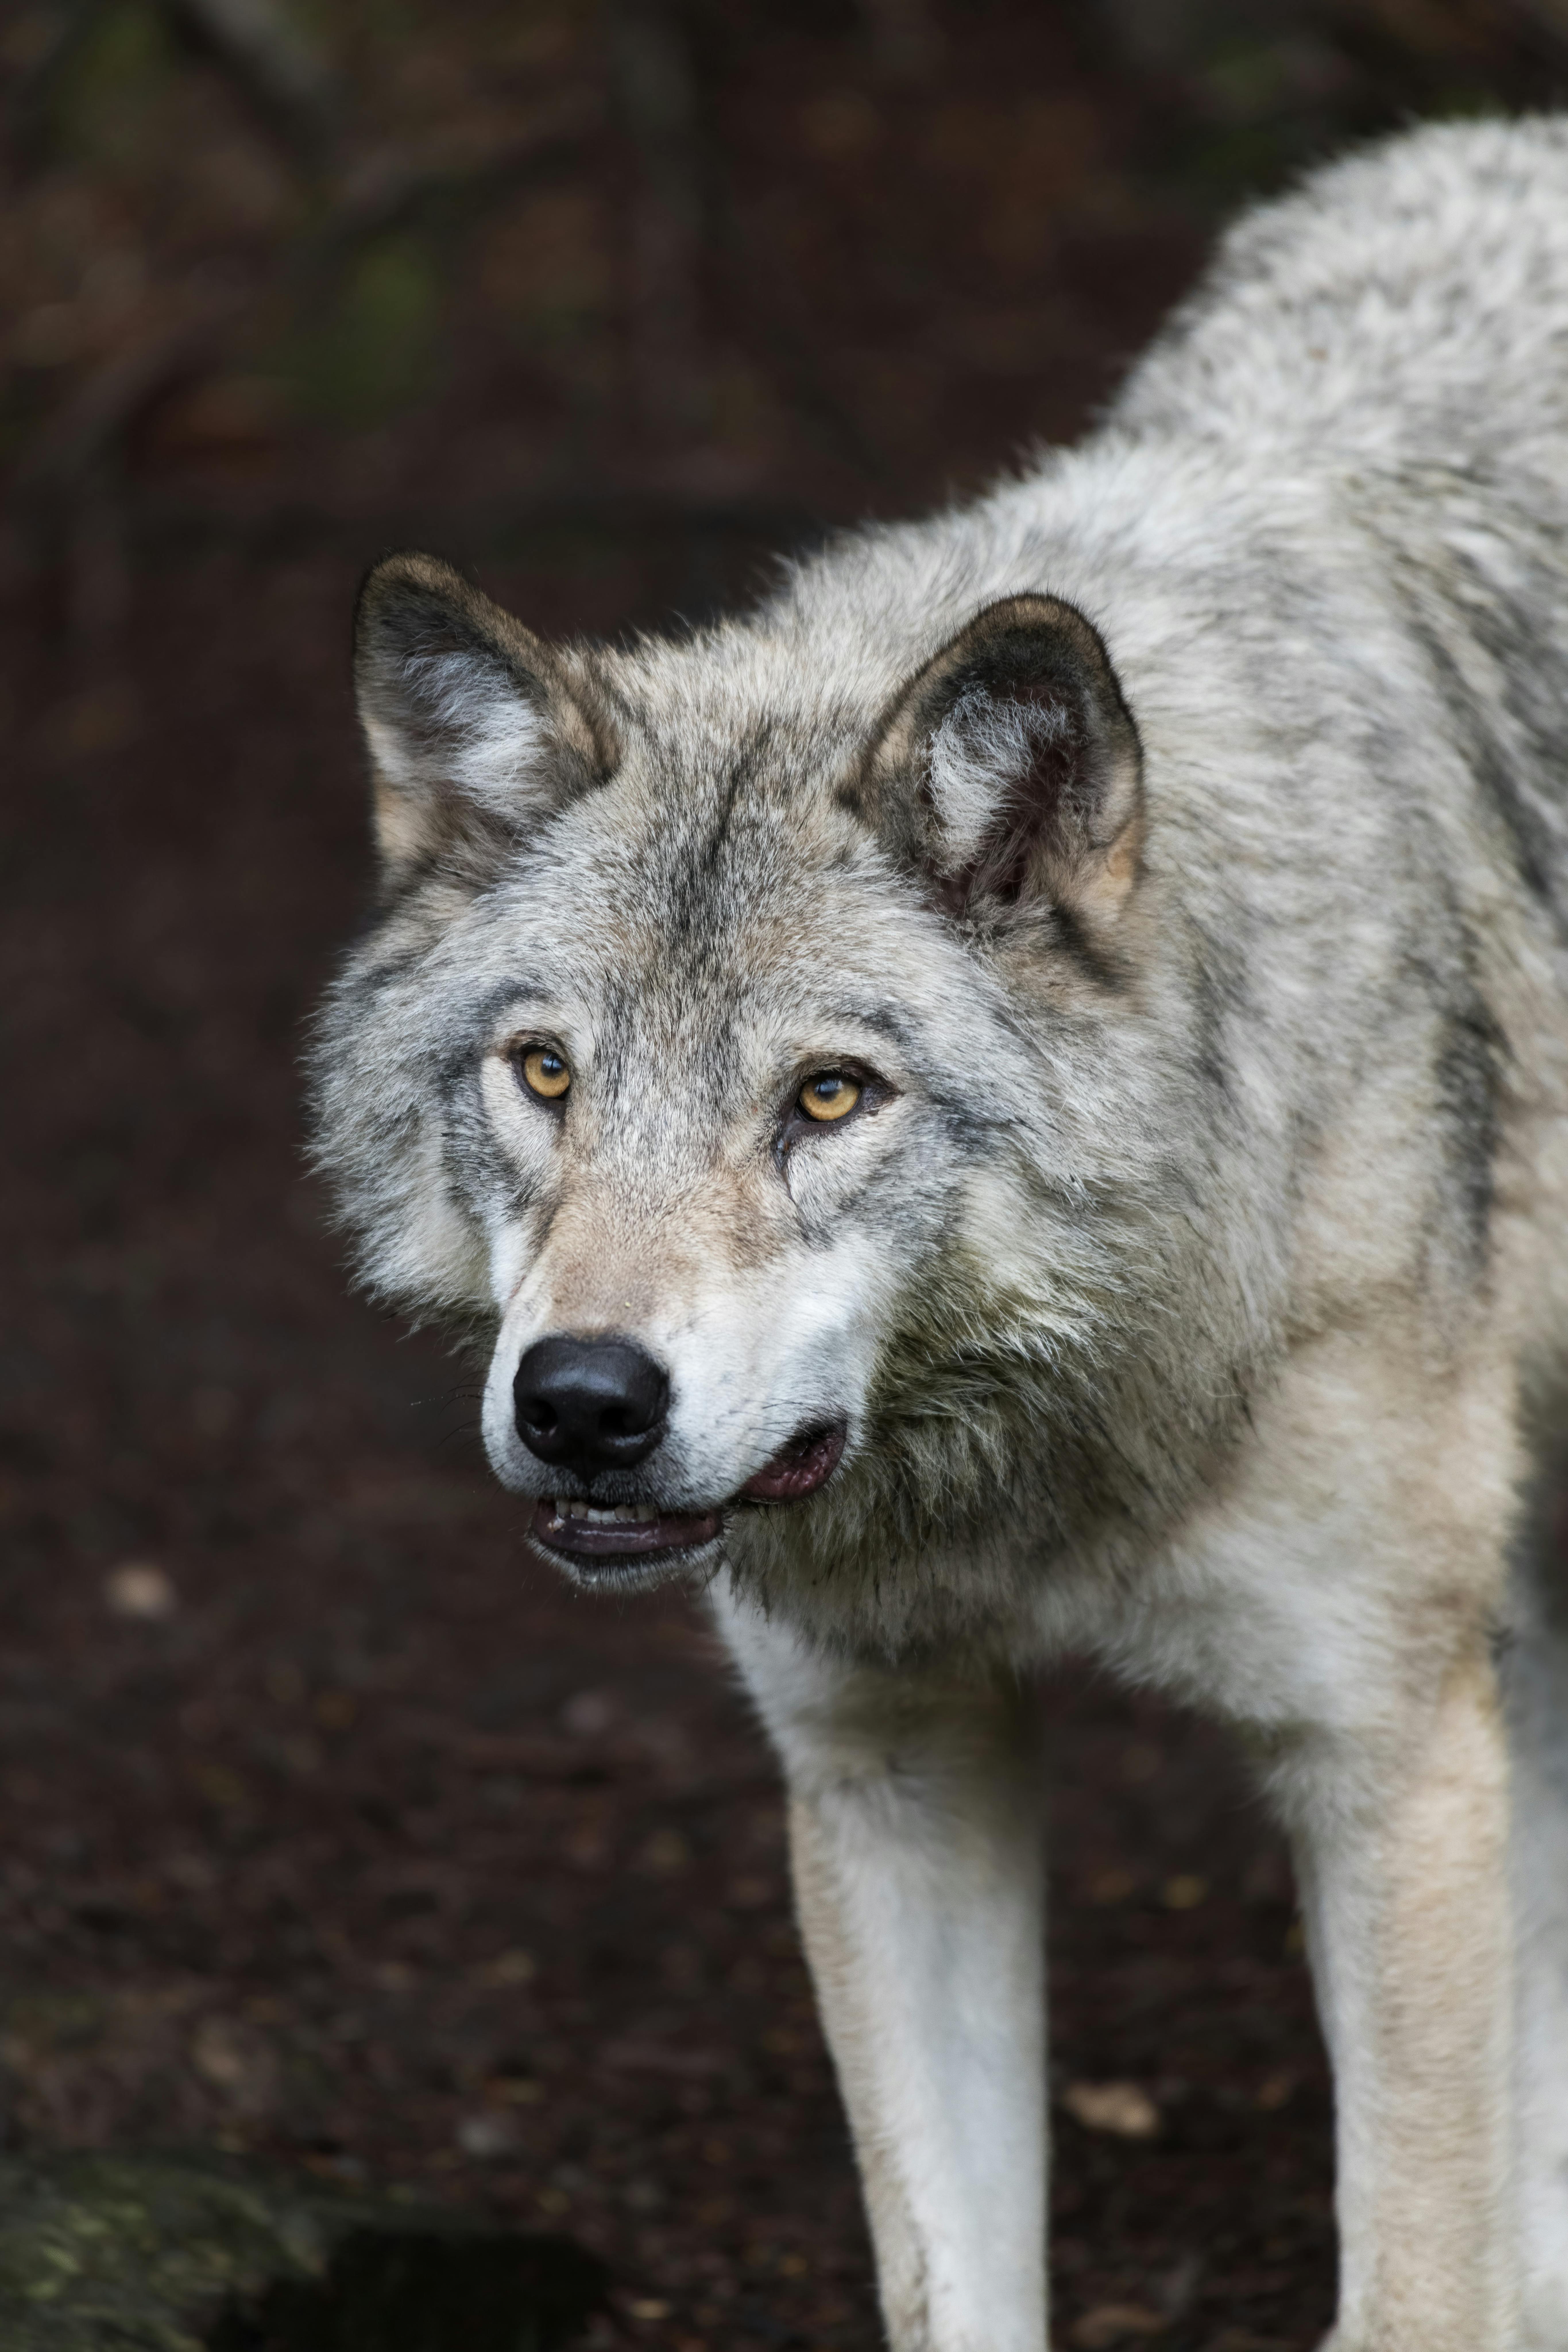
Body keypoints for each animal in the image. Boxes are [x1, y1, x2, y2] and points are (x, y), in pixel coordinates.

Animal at [309, 117, 1568, 2351]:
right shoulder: (889, 1768)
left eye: (827, 1098)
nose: (583, 1404)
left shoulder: (1387, 1758)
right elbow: (950, 2283)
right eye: (545, 1075)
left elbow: (1415, 2282)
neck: (1039, 1454)